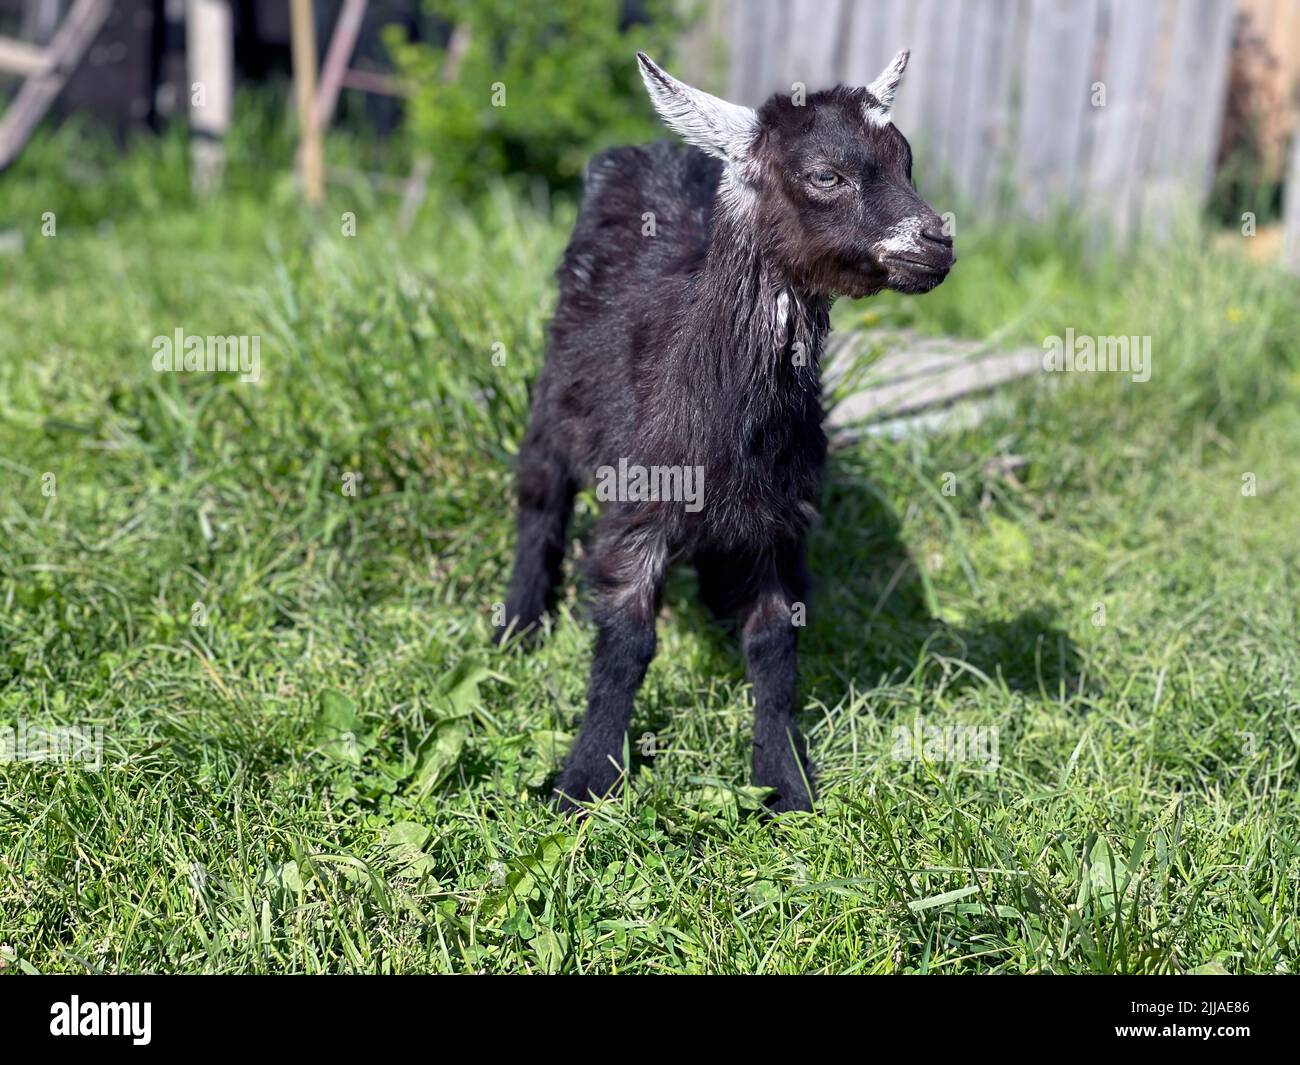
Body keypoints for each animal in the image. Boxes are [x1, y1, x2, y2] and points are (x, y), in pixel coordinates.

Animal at [498, 50, 954, 812]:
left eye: (907, 161)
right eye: (825, 175)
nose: (938, 241)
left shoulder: (783, 519)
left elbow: (773, 642)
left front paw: (785, 781)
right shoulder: (638, 502)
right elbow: (626, 639)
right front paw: (587, 779)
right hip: (554, 387)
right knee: (540, 493)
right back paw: (518, 624)